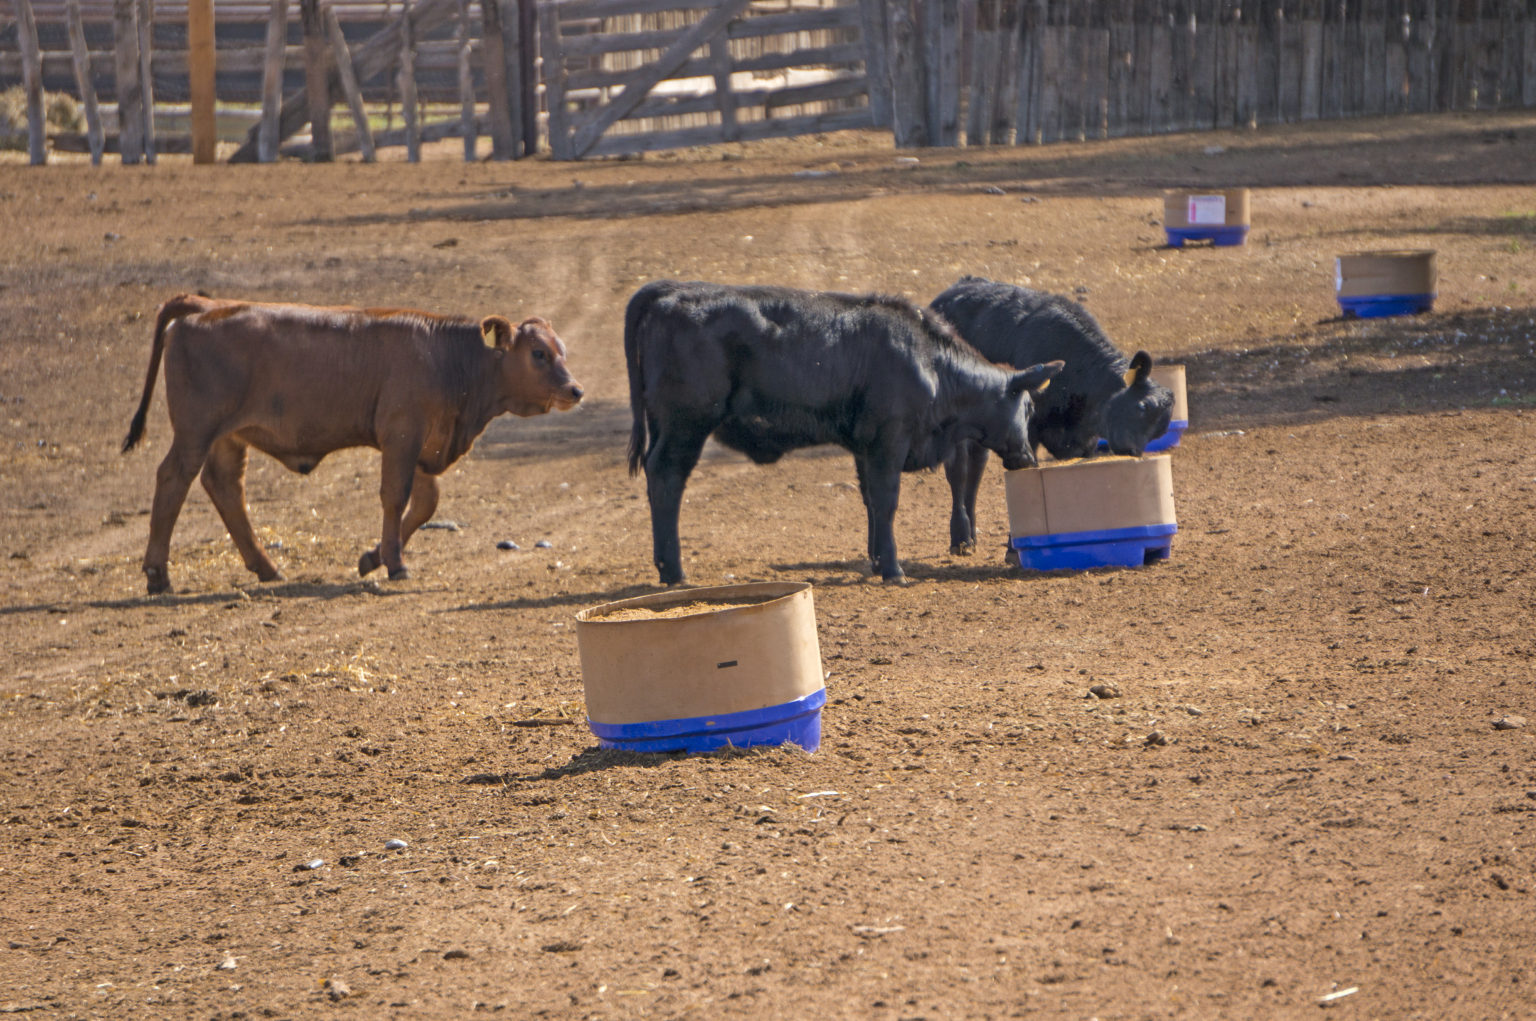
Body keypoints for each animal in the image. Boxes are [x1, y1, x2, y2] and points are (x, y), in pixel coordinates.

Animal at [121, 294, 583, 595]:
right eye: (539, 354)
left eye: (562, 350)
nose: (575, 390)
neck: (448, 357)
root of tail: (204, 306)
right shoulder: (401, 434)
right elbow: (395, 498)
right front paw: (394, 564)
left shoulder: (421, 446)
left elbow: (426, 503)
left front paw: (373, 557)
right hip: (196, 432)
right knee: (173, 480)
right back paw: (158, 574)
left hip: (228, 438)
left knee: (225, 489)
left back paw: (266, 568)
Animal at [623, 280, 1063, 585]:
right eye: (1027, 407)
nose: (1028, 459)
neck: (930, 364)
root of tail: (673, 292)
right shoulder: (889, 440)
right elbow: (886, 502)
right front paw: (893, 569)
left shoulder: (864, 446)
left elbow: (869, 502)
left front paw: (876, 560)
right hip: (686, 424)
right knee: (666, 479)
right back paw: (674, 570)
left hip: (667, 425)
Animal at [929, 276, 1174, 554]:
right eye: (1142, 406)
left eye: (1158, 432)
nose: (1133, 451)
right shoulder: (1027, 434)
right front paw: (1013, 548)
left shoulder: (1084, 443)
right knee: (958, 473)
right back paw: (960, 538)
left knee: (976, 469)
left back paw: (970, 534)